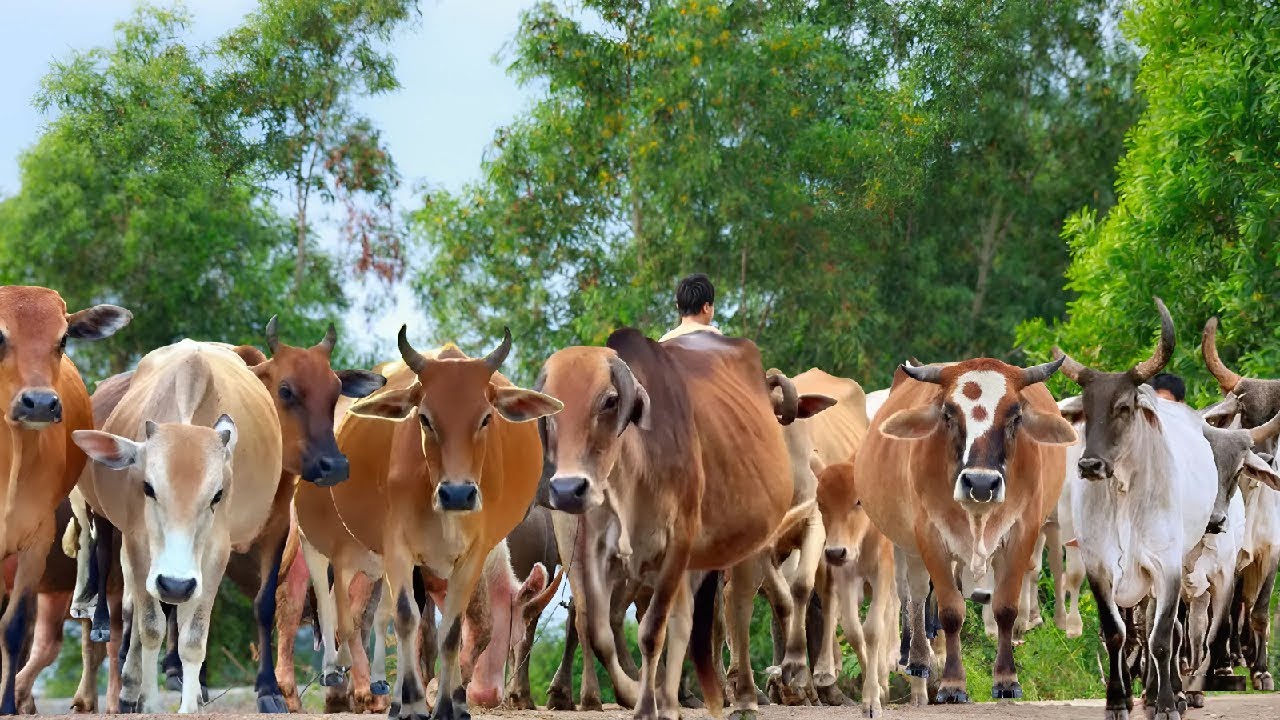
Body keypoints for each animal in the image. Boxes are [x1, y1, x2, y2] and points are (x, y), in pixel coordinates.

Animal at [72, 339, 283, 713]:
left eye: (217, 495)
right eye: (148, 487)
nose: (174, 583)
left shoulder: (215, 554)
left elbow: (193, 637)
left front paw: (189, 705)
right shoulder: (138, 545)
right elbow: (151, 627)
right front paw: (150, 703)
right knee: (134, 611)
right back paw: (131, 687)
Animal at [300, 326, 561, 720]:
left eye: (486, 418)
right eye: (424, 418)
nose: (489, 695)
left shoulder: (466, 561)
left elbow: (452, 629)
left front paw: (450, 700)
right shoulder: (405, 557)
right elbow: (413, 624)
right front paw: (414, 699)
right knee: (345, 608)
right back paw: (353, 688)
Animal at [535, 328, 801, 720]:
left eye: (610, 400)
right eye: (551, 406)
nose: (568, 490)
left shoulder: (677, 547)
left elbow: (652, 631)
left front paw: (647, 705)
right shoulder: (593, 553)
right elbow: (600, 632)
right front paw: (634, 692)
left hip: (744, 546)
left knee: (736, 609)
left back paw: (743, 697)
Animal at [855, 354, 1074, 707]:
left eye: (1015, 416)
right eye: (948, 414)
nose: (981, 484)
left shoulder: (1022, 534)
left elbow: (1005, 608)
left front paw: (1006, 681)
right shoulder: (929, 537)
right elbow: (951, 611)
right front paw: (952, 685)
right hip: (905, 544)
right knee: (914, 593)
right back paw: (917, 659)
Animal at [1053, 297, 1221, 720]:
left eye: (1124, 407)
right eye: (1085, 411)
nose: (1089, 465)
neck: (1124, 494)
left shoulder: (1166, 565)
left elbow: (1161, 638)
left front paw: (1166, 705)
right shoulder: (1097, 565)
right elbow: (1116, 633)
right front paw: (1117, 700)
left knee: (1168, 631)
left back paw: (1170, 693)